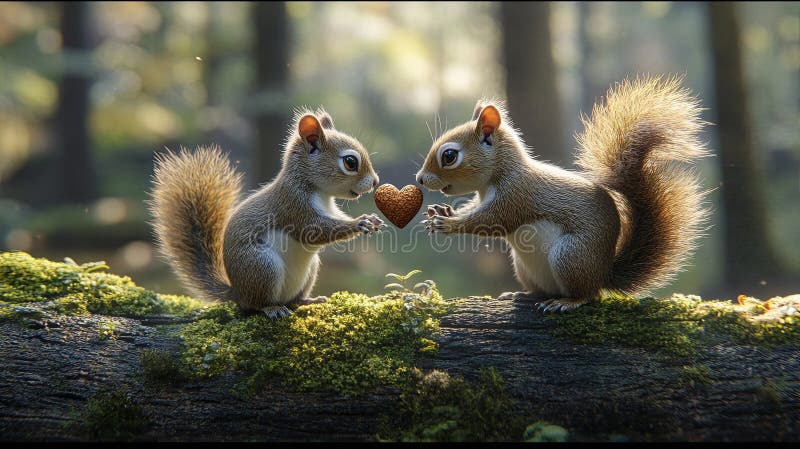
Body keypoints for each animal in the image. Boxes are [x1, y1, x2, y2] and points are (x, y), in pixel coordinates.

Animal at [148, 108, 384, 318]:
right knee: (255, 304)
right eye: (350, 162)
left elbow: (336, 219)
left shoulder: (330, 209)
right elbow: (315, 231)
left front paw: (372, 219)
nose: (375, 182)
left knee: (293, 299)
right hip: (262, 266)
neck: (318, 191)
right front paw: (359, 223)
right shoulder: (293, 206)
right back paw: (272, 308)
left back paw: (307, 300)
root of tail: (237, 292)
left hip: (309, 269)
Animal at [416, 75, 709, 312]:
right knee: (544, 290)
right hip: (524, 265)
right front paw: (444, 211)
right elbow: (473, 210)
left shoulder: (517, 195)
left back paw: (568, 302)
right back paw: (523, 295)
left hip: (570, 256)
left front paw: (447, 223)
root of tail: (603, 273)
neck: (494, 178)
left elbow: (491, 222)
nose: (419, 179)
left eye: (449, 156)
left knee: (589, 295)